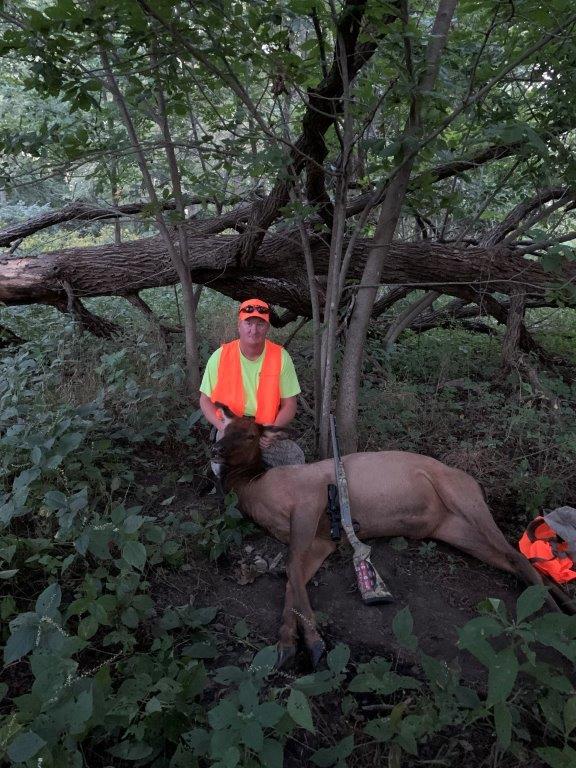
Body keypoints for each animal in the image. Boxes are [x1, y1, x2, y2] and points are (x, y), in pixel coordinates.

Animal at [211, 403, 570, 668]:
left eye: (248, 434)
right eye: (224, 429)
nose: (215, 450)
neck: (255, 489)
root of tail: (477, 484)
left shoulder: (308, 502)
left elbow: (290, 568)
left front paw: (313, 643)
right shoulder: (322, 540)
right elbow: (292, 577)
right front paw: (286, 644)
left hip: (464, 499)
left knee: (518, 555)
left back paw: (555, 616)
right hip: (457, 530)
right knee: (516, 560)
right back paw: (563, 604)